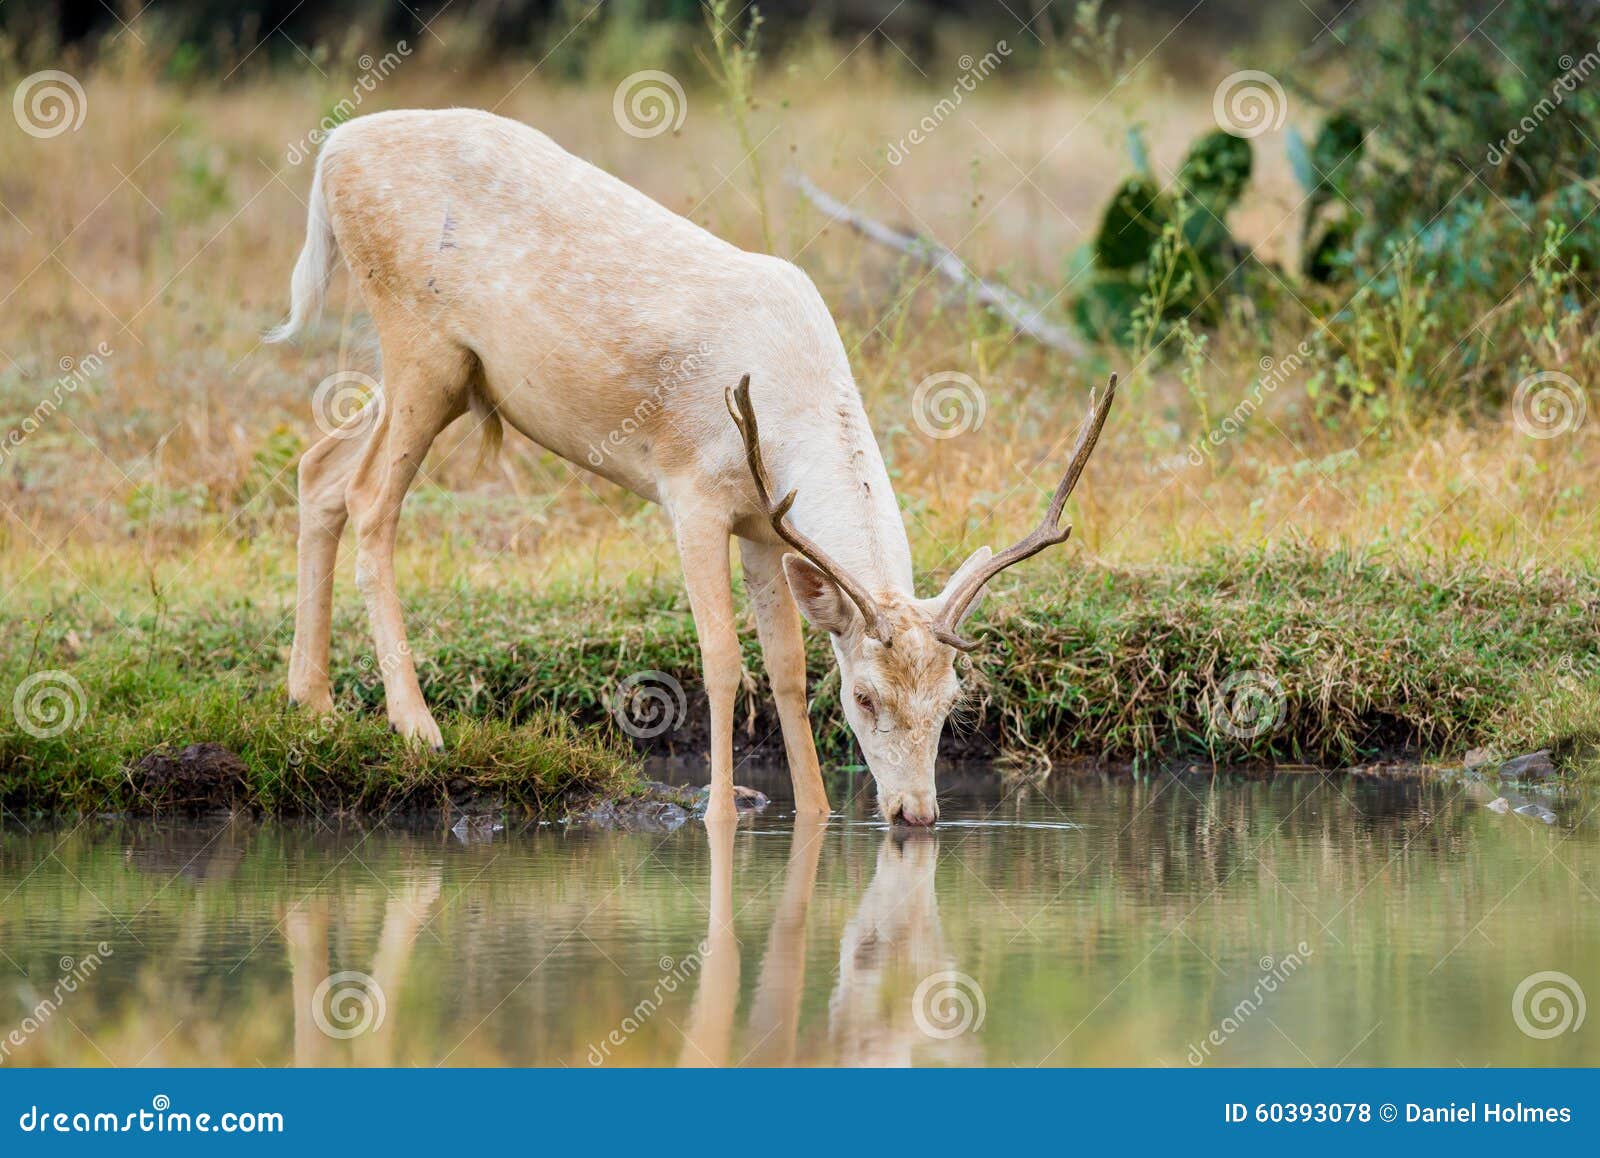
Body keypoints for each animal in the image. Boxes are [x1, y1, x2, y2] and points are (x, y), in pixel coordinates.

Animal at [267, 108, 1116, 828]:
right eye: (866, 696)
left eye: (951, 699)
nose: (915, 814)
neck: (787, 397)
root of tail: (332, 150)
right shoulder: (692, 495)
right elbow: (722, 662)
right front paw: (719, 813)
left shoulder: (766, 527)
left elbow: (785, 668)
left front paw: (815, 813)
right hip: (420, 338)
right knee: (370, 495)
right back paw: (416, 727)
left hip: (452, 375)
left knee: (320, 467)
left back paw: (311, 702)